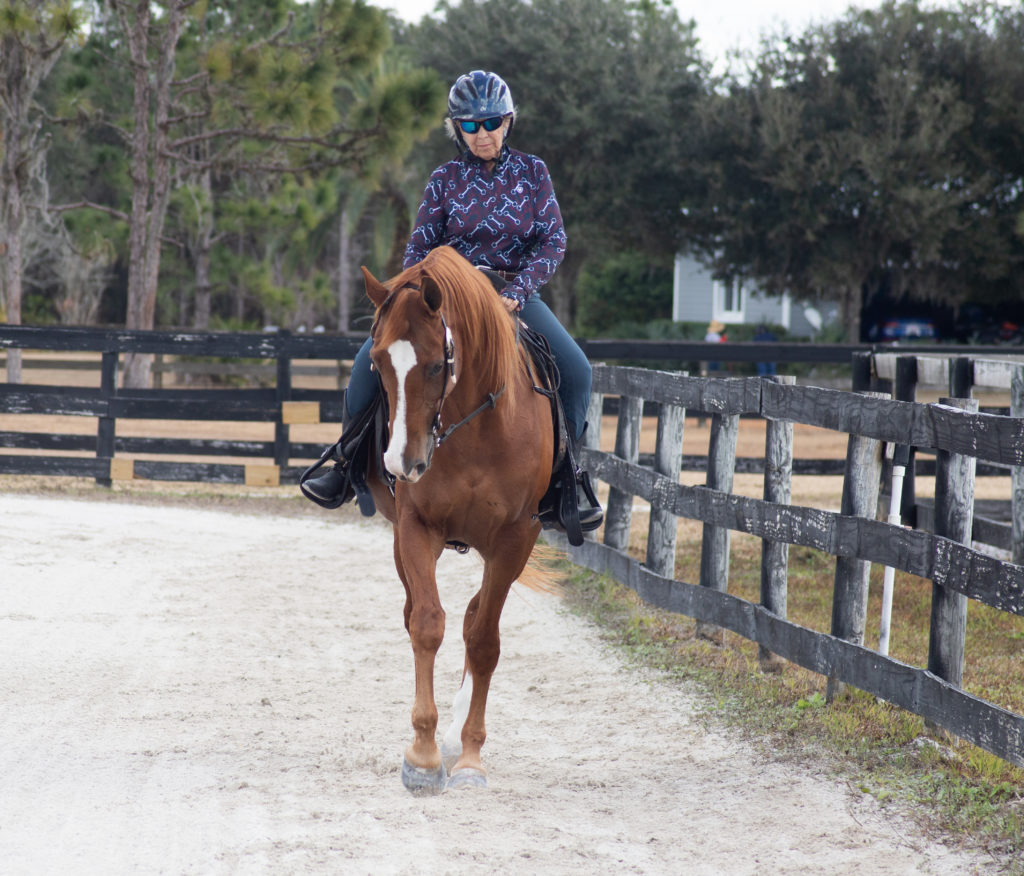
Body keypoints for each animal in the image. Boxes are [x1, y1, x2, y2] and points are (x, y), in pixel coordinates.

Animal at [359, 245, 557, 794]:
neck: (475, 428)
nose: (401, 463)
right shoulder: (415, 527)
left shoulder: (515, 539)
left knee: (475, 617)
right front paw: (423, 757)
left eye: (433, 366)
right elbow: (427, 625)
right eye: (377, 361)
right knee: (421, 613)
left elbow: (484, 641)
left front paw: (468, 759)